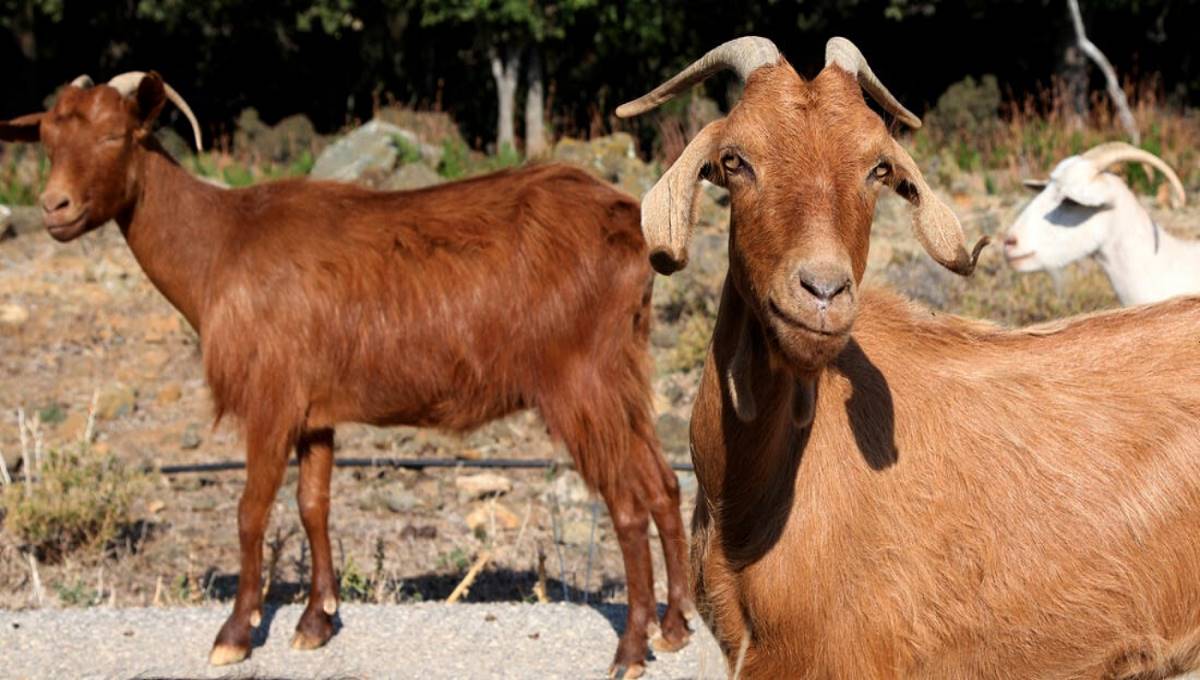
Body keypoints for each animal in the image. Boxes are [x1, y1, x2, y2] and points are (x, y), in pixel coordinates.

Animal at [0, 71, 691, 678]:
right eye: (48, 140)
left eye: (117, 136)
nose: (54, 207)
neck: (220, 246)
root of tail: (629, 223)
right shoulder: (315, 413)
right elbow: (314, 506)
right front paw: (316, 620)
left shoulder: (271, 398)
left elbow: (251, 510)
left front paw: (235, 634)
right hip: (621, 373)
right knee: (662, 484)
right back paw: (676, 627)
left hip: (580, 381)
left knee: (627, 505)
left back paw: (631, 651)